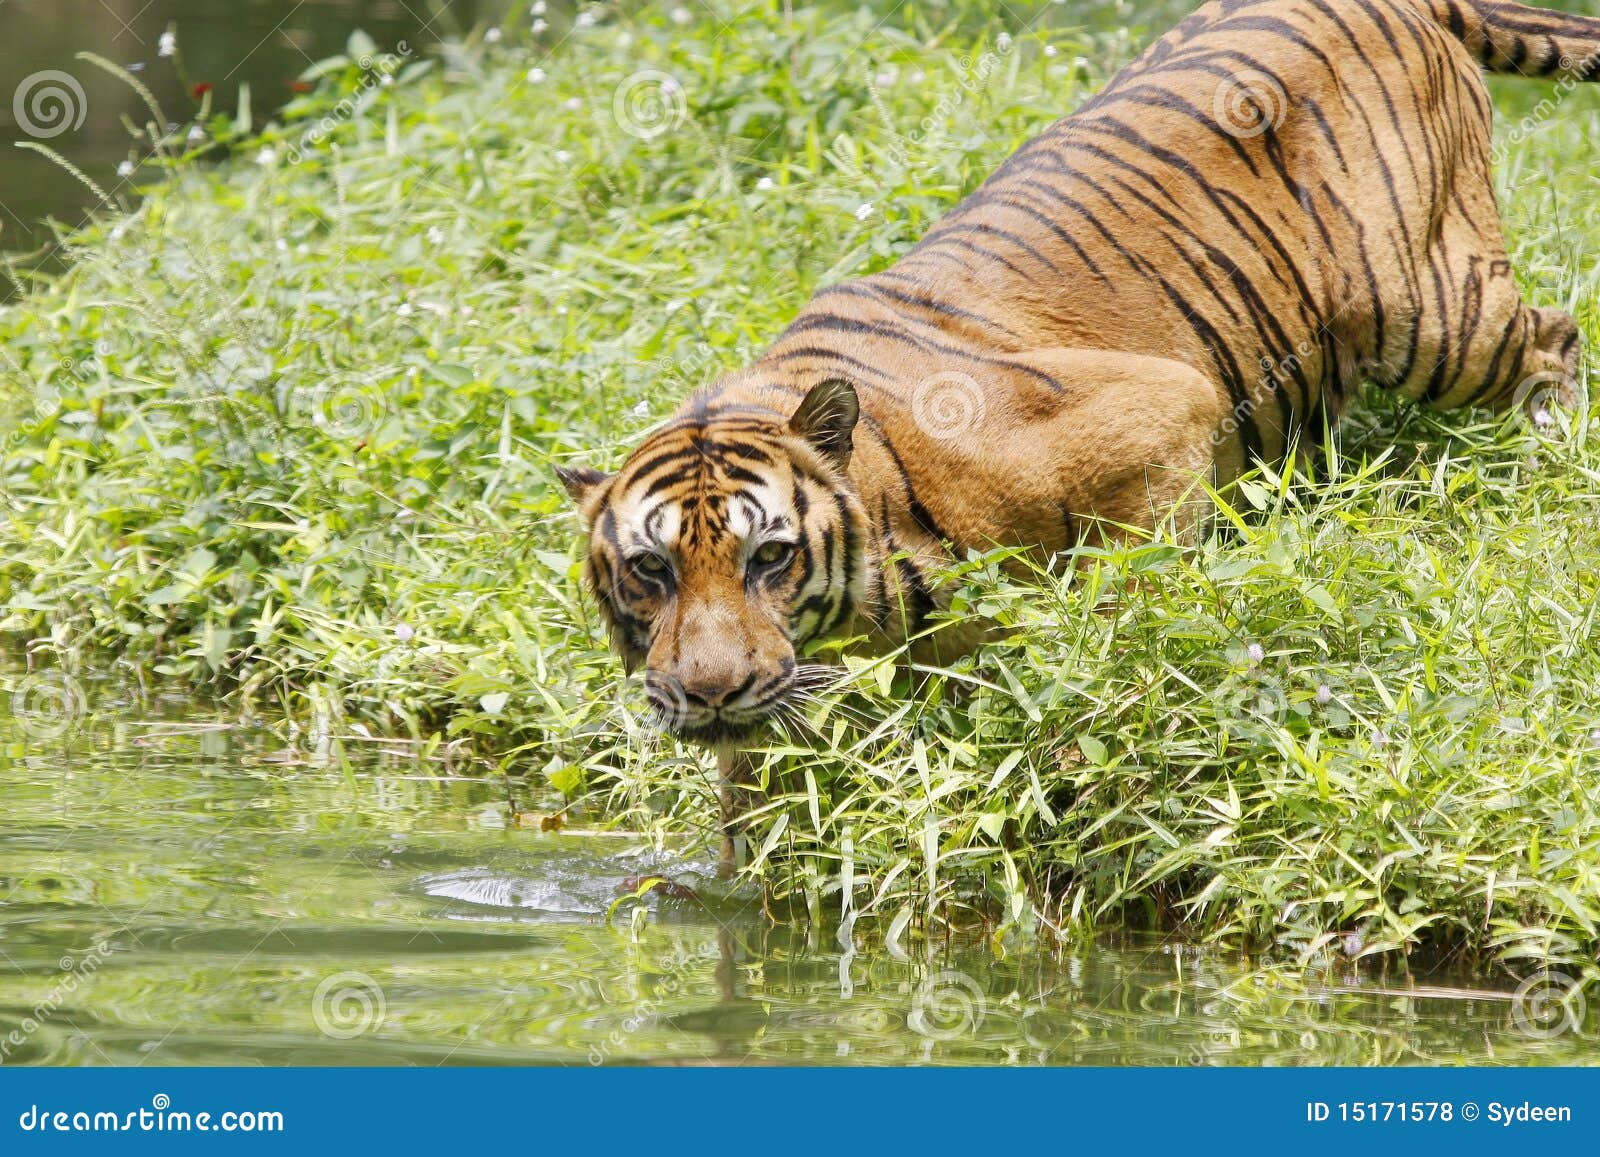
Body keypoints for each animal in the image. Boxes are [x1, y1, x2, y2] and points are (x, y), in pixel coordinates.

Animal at [558, 0, 1598, 860]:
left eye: (769, 557)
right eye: (651, 569)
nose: (710, 692)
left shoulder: (1165, 405)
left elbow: (1128, 606)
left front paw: (1095, 709)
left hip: (1430, 314)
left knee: (1555, 336)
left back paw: (1557, 459)